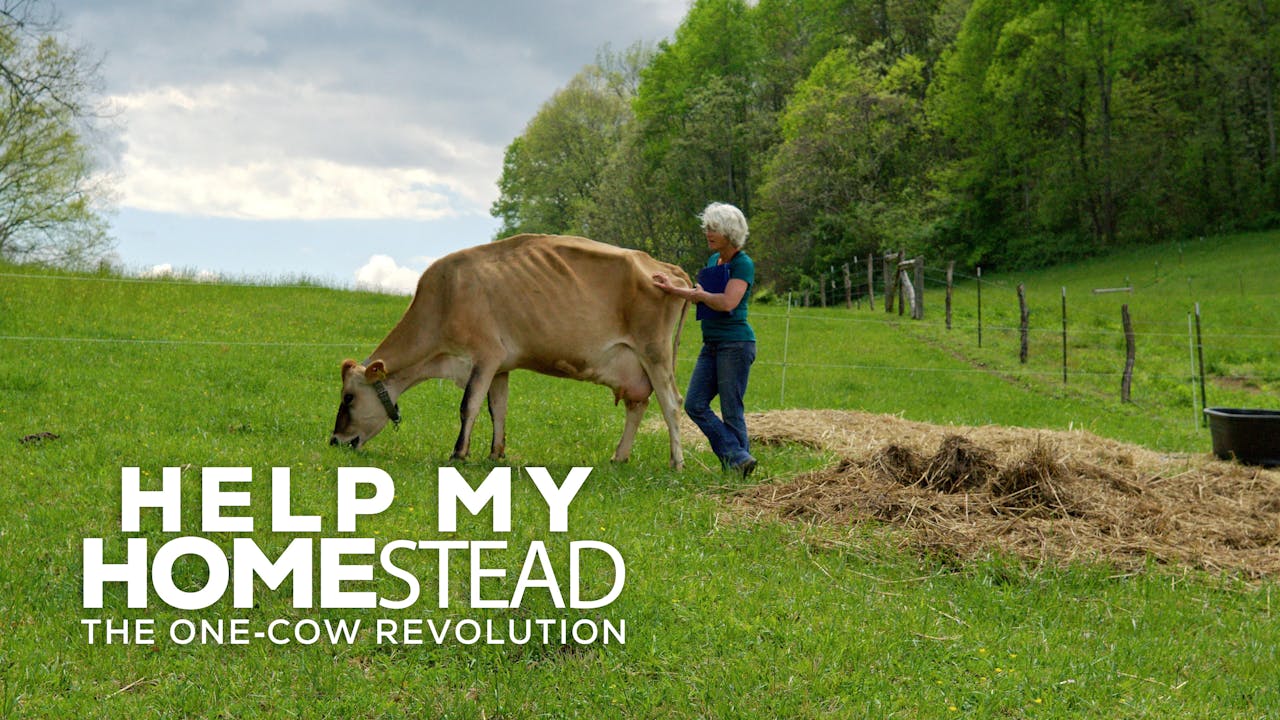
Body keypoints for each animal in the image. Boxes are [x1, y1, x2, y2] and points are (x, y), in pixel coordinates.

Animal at [329, 234, 692, 468]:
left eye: (349, 397)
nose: (335, 441)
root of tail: (667, 268)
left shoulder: (485, 356)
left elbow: (469, 406)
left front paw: (458, 454)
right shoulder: (501, 366)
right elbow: (498, 409)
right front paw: (495, 453)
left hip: (654, 352)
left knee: (672, 402)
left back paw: (676, 462)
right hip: (634, 365)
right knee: (638, 405)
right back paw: (619, 456)